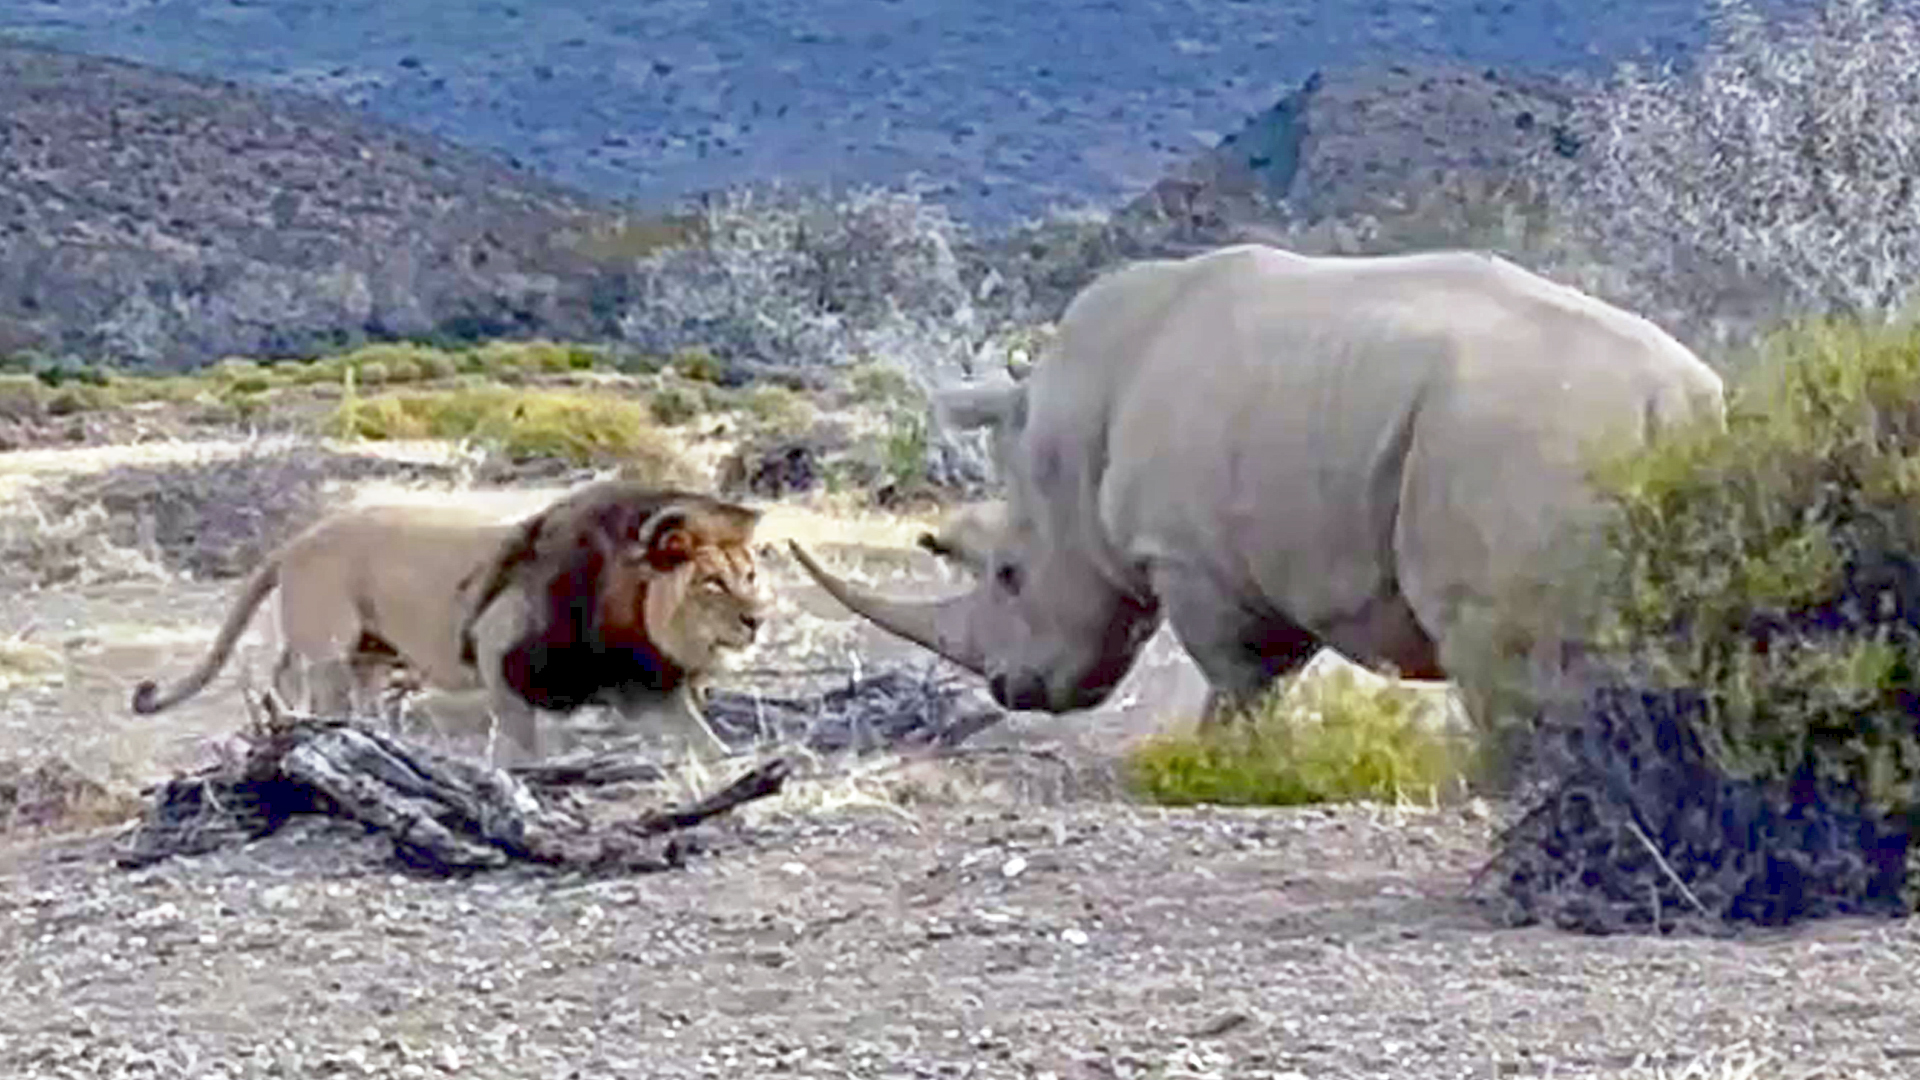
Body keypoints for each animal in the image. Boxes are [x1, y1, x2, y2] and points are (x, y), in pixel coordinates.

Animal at [128, 480, 769, 766]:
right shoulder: (497, 651)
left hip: (370, 655)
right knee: (310, 695)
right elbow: (518, 746)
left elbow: (704, 741)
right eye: (711, 582)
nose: (756, 621)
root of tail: (294, 542)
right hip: (330, 650)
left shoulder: (644, 689)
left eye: (749, 573)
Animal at [790, 244, 1727, 723]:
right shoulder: (1272, 549)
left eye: (1010, 575)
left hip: (1522, 434)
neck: (1066, 430)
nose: (1013, 692)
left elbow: (1239, 677)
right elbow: (1268, 663)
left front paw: (1217, 757)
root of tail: (1671, 398)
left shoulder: (1191, 556)